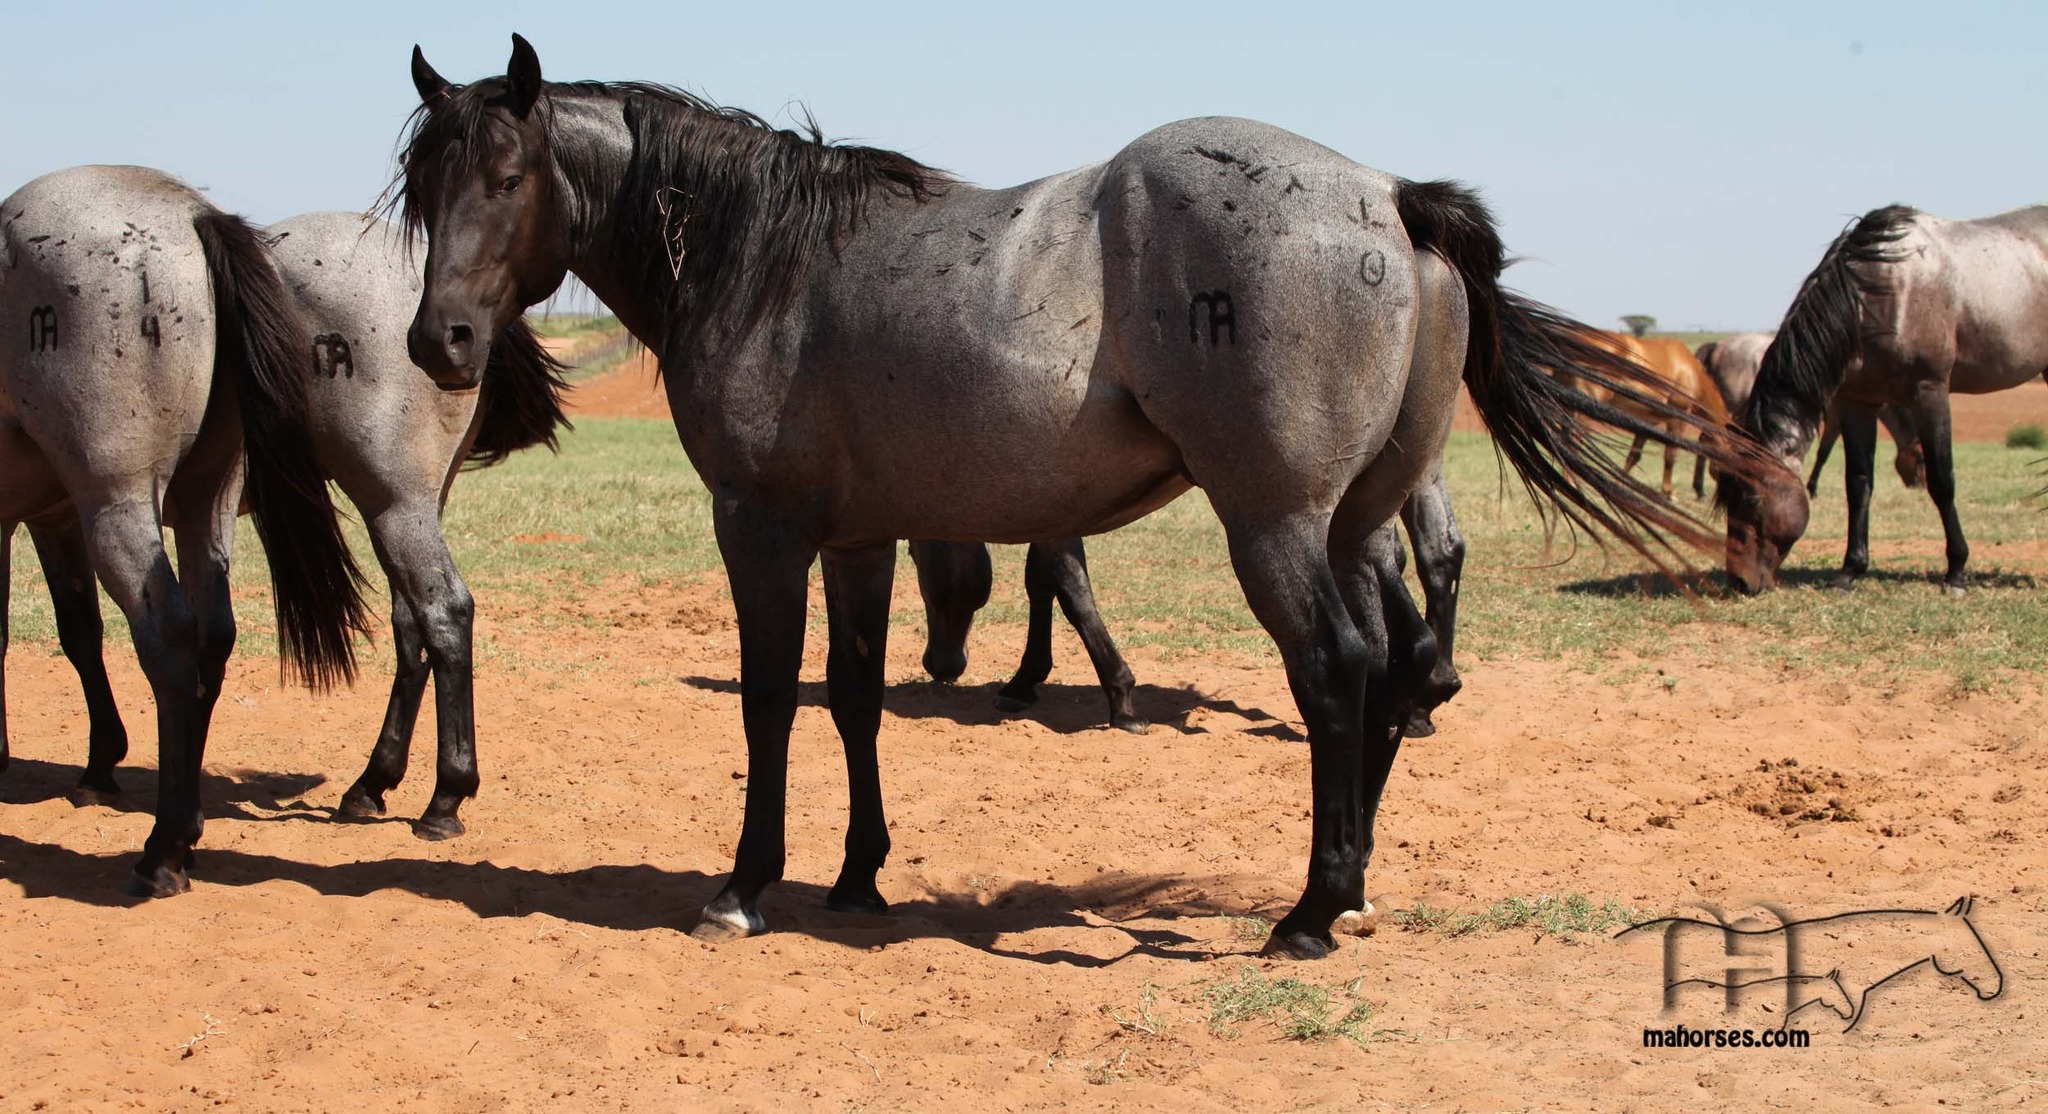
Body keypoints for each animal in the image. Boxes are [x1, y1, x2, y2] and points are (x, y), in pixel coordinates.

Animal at [0, 166, 367, 896]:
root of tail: (196, 215)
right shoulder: (46, 517)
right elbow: (76, 630)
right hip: (205, 502)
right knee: (213, 635)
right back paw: (188, 824)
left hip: (118, 503)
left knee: (168, 636)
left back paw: (163, 852)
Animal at [2, 211, 571, 840]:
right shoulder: (53, 519)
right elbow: (79, 630)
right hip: (410, 506)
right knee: (411, 626)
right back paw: (371, 783)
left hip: (394, 503)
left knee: (444, 613)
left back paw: (444, 797)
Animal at [911, 467, 1467, 738]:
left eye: (916, 554)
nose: (942, 664)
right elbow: (1044, 578)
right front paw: (1028, 677)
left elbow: (1063, 578)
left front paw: (1120, 698)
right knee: (1435, 548)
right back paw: (1424, 694)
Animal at [1696, 332, 1923, 495]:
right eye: (1921, 457)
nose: (1919, 486)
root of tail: (1719, 346)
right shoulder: (1836, 419)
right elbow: (1824, 453)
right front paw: (1812, 488)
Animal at [1719, 204, 2048, 595]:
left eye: (1752, 499)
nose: (1739, 581)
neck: (1877, 297)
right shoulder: (1858, 403)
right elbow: (1859, 483)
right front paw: (1850, 570)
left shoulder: (1929, 392)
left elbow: (1942, 481)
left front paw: (1955, 572)